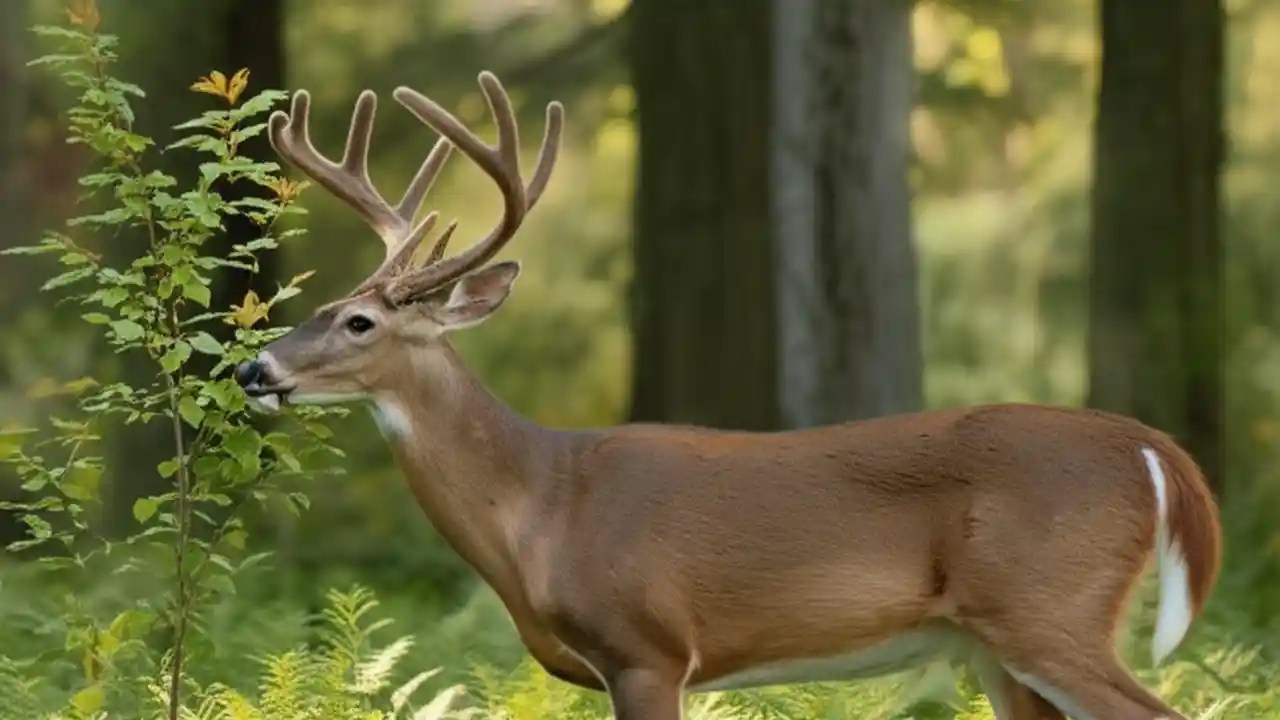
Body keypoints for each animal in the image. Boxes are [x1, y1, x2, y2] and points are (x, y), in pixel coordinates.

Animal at [233, 71, 1222, 720]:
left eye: (358, 321)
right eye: (323, 307)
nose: (255, 371)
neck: (541, 507)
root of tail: (1153, 449)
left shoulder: (649, 648)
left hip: (1049, 609)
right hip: (1001, 645)